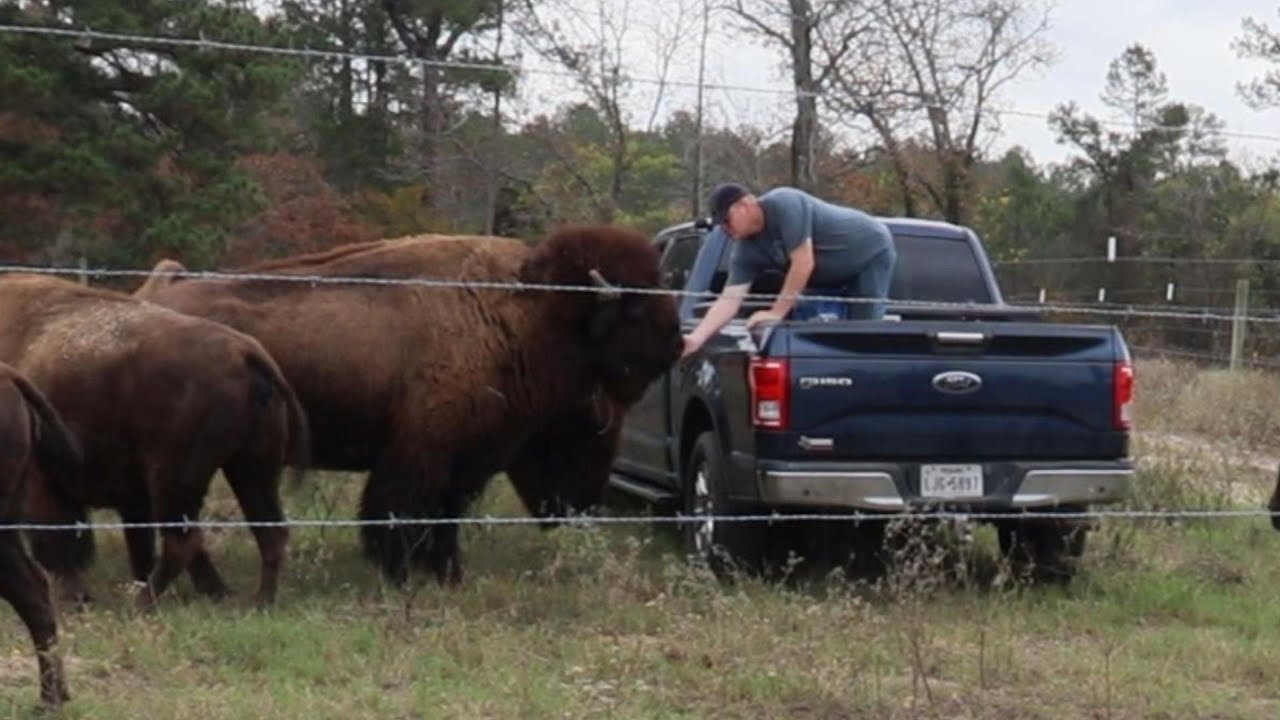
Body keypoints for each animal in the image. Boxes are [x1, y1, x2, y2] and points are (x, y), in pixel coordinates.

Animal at [0, 275, 309, 609]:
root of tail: (245, 351)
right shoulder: (131, 496)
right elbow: (135, 543)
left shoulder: (44, 482)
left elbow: (57, 541)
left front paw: (75, 599)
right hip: (252, 467)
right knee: (269, 532)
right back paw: (255, 601)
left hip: (175, 474)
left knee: (183, 541)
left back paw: (142, 602)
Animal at [136, 225, 682, 584]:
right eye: (635, 309)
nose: (677, 345)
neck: (524, 312)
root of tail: (150, 296)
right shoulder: (422, 452)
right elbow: (399, 512)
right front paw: (400, 573)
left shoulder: (464, 462)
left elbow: (445, 516)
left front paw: (446, 573)